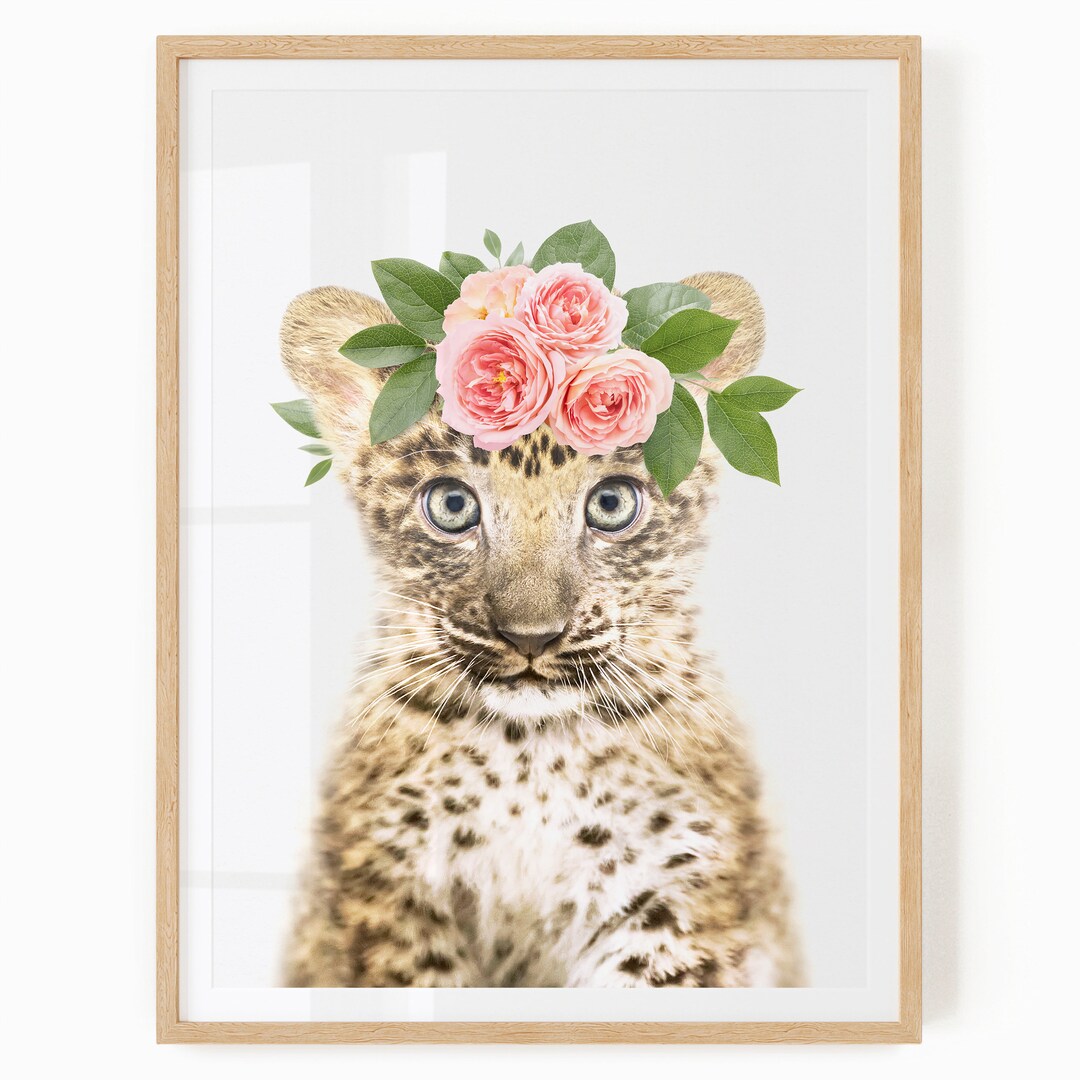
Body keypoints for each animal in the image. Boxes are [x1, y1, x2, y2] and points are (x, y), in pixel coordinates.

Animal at [280, 271, 802, 989]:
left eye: (611, 503)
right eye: (452, 505)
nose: (531, 638)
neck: (529, 756)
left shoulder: (674, 895)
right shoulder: (390, 900)